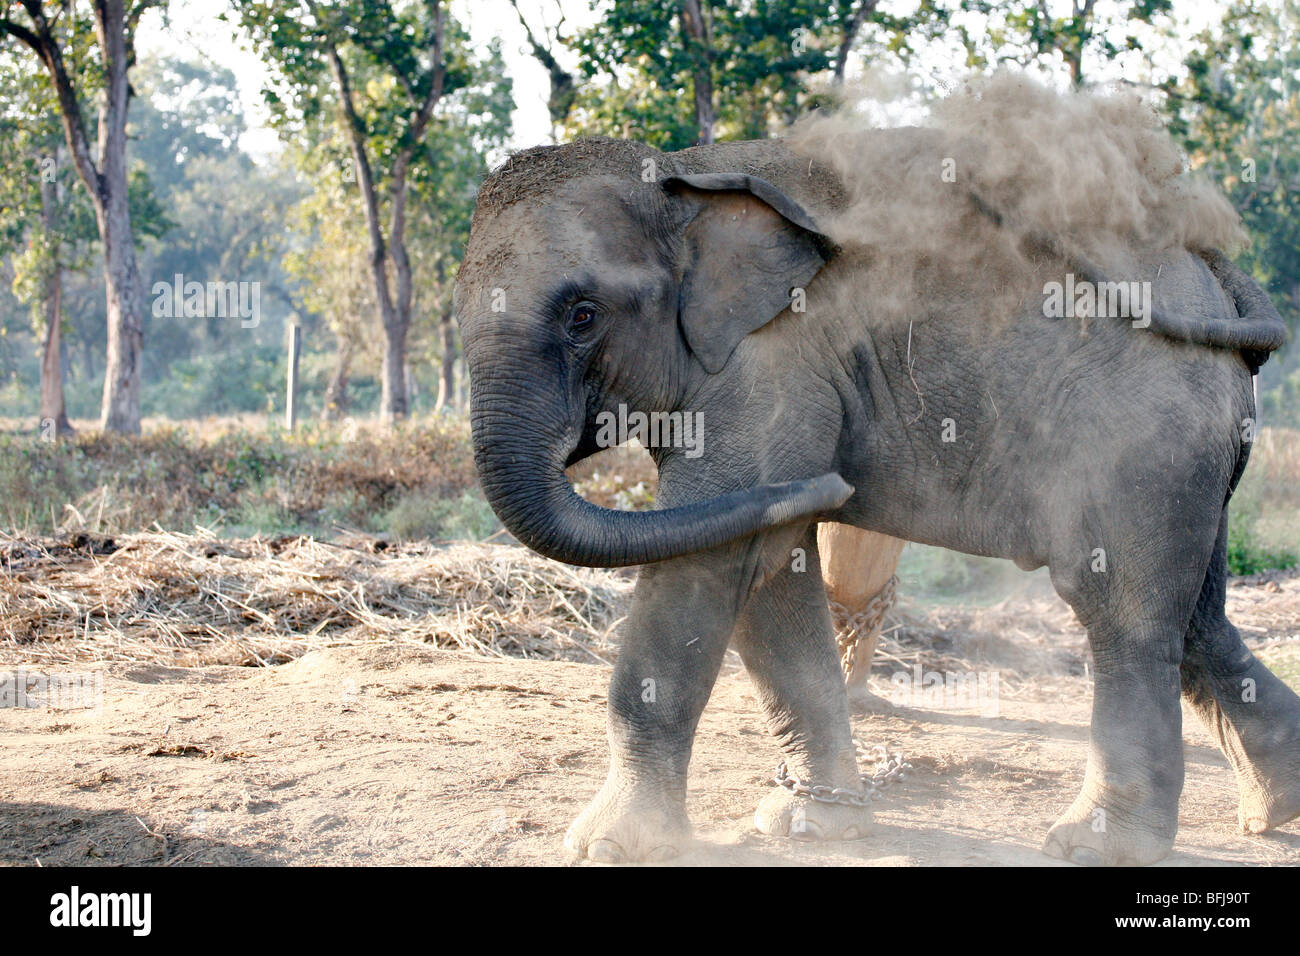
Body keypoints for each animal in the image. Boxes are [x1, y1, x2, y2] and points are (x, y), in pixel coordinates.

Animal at [453, 130, 1295, 866]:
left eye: (582, 316)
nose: (839, 478)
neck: (684, 176)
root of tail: (1212, 271)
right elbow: (769, 570)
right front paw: (809, 825)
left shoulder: (769, 368)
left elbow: (715, 563)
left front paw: (606, 846)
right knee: (1198, 616)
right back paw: (1274, 810)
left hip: (1143, 433)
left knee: (1120, 606)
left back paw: (1096, 845)